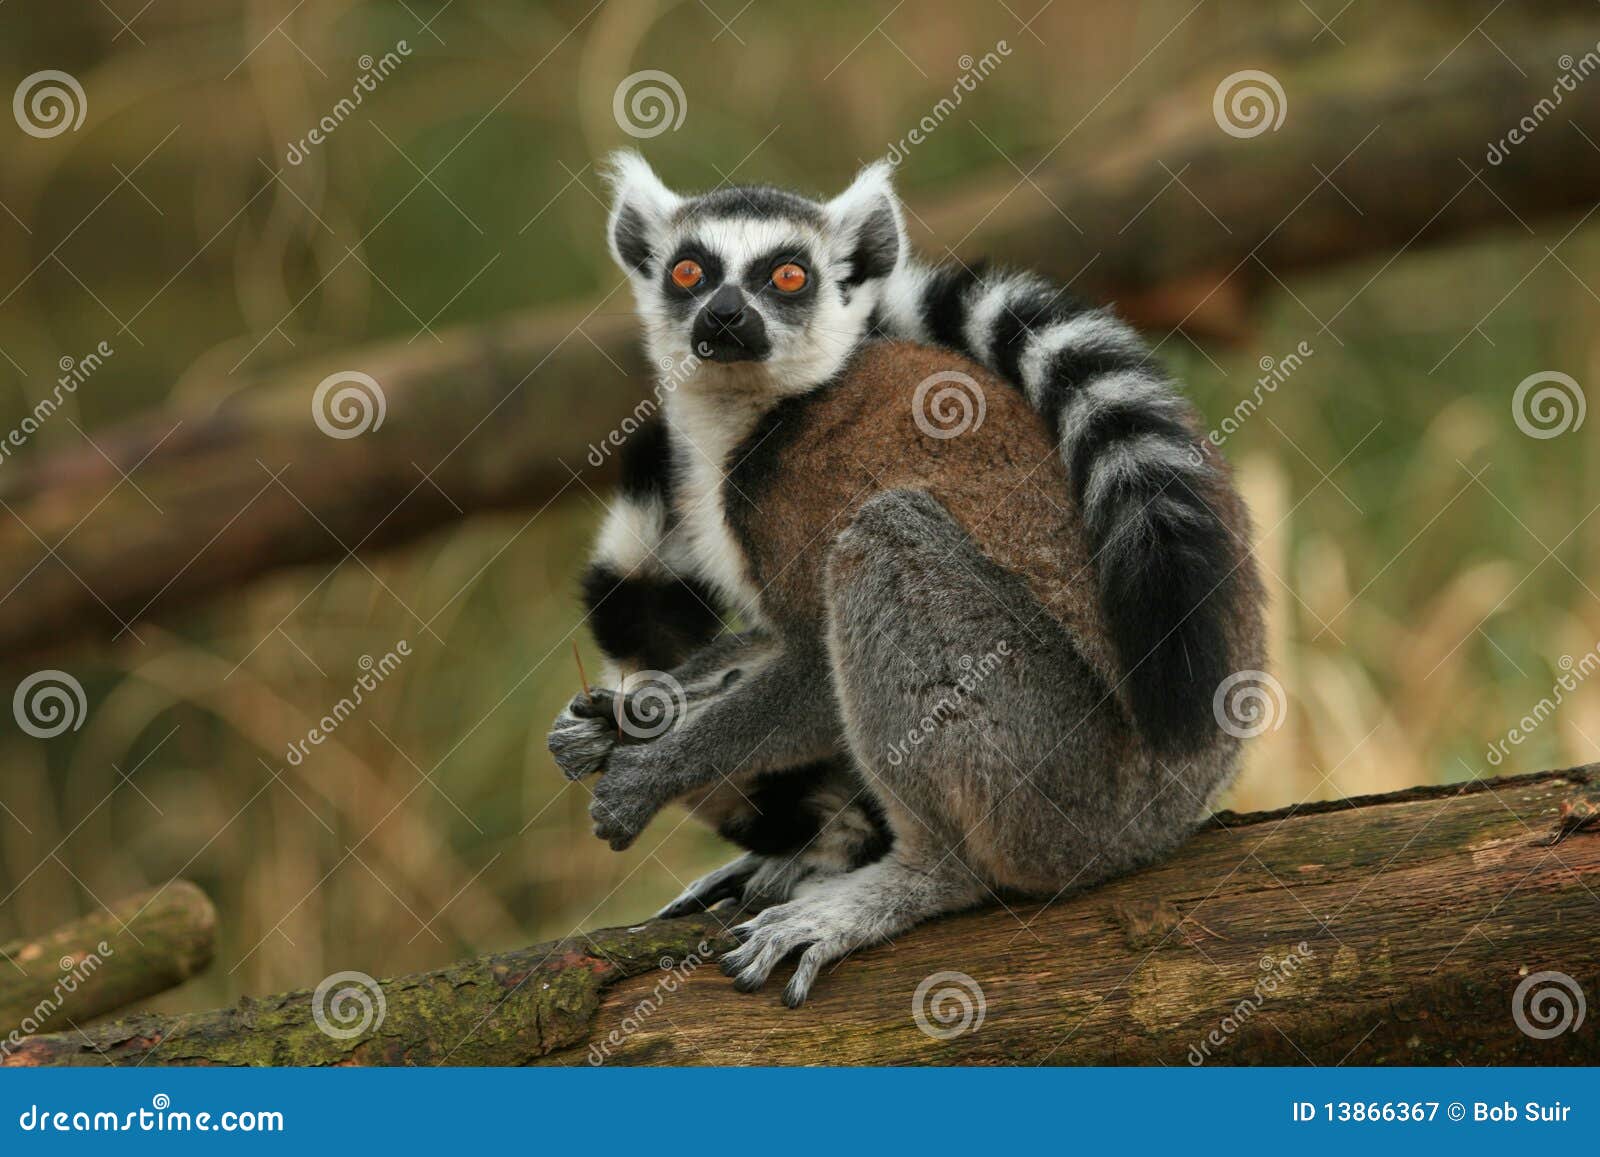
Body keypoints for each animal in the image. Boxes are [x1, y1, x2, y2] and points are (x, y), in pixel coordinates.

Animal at [546, 152, 1265, 1005]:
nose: (723, 316)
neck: (761, 413)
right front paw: (627, 714)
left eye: (787, 276)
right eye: (691, 270)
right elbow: (768, 642)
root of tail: (1188, 794)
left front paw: (653, 768)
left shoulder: (798, 493)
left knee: (887, 543)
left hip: (1066, 778)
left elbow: (814, 666)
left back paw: (912, 878)